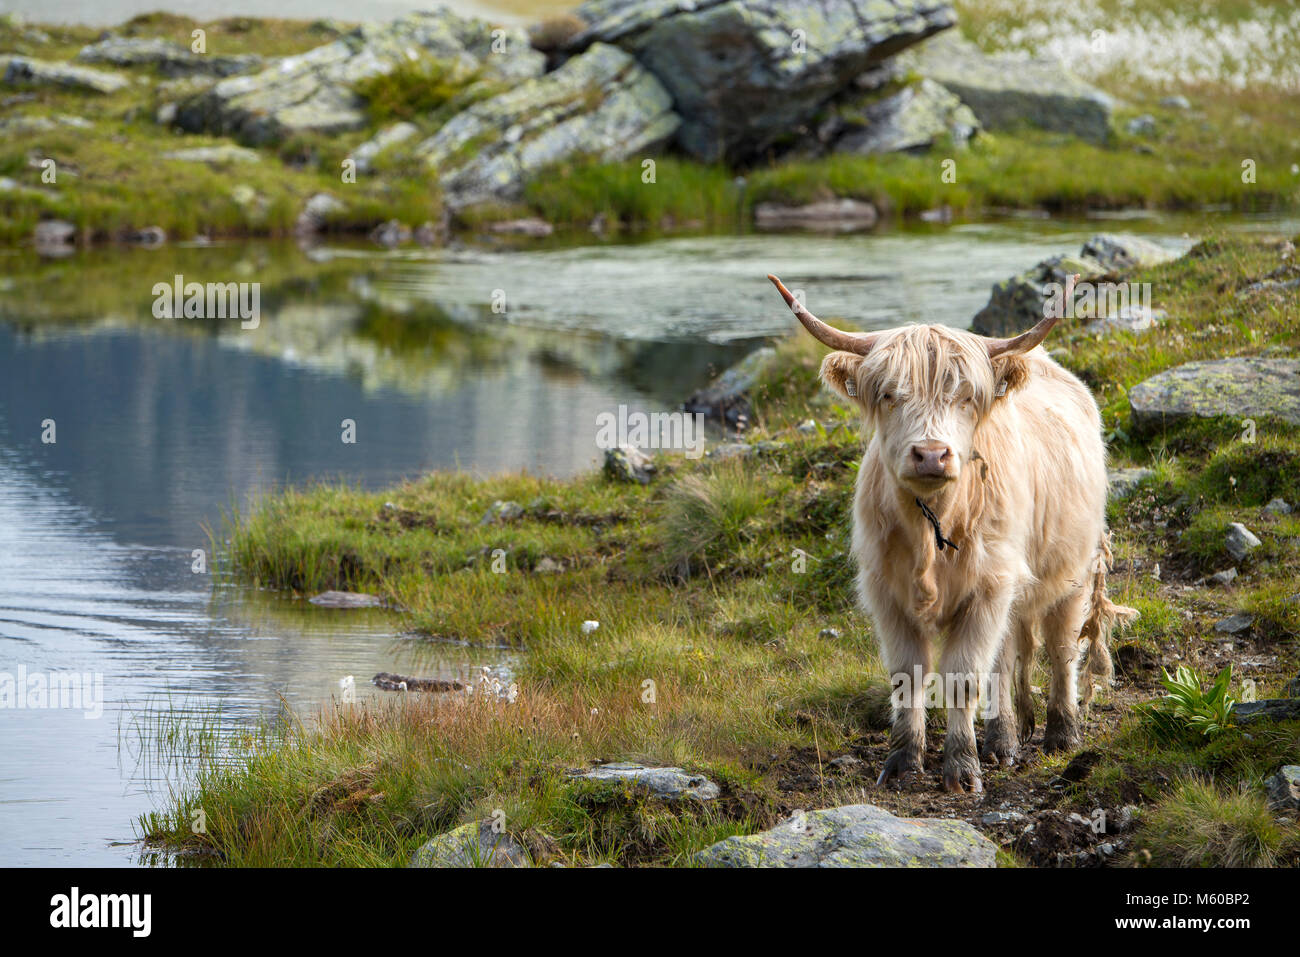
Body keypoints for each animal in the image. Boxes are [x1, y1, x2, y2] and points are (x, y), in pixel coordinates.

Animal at [768, 274, 1136, 793]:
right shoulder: (888, 592)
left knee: (1062, 647)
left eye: (965, 397)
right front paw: (904, 761)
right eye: (889, 395)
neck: (932, 527)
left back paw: (1062, 735)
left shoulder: (988, 589)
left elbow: (963, 677)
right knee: (1009, 654)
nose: (930, 454)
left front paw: (961, 768)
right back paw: (1005, 738)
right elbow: (908, 674)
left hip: (1072, 572)